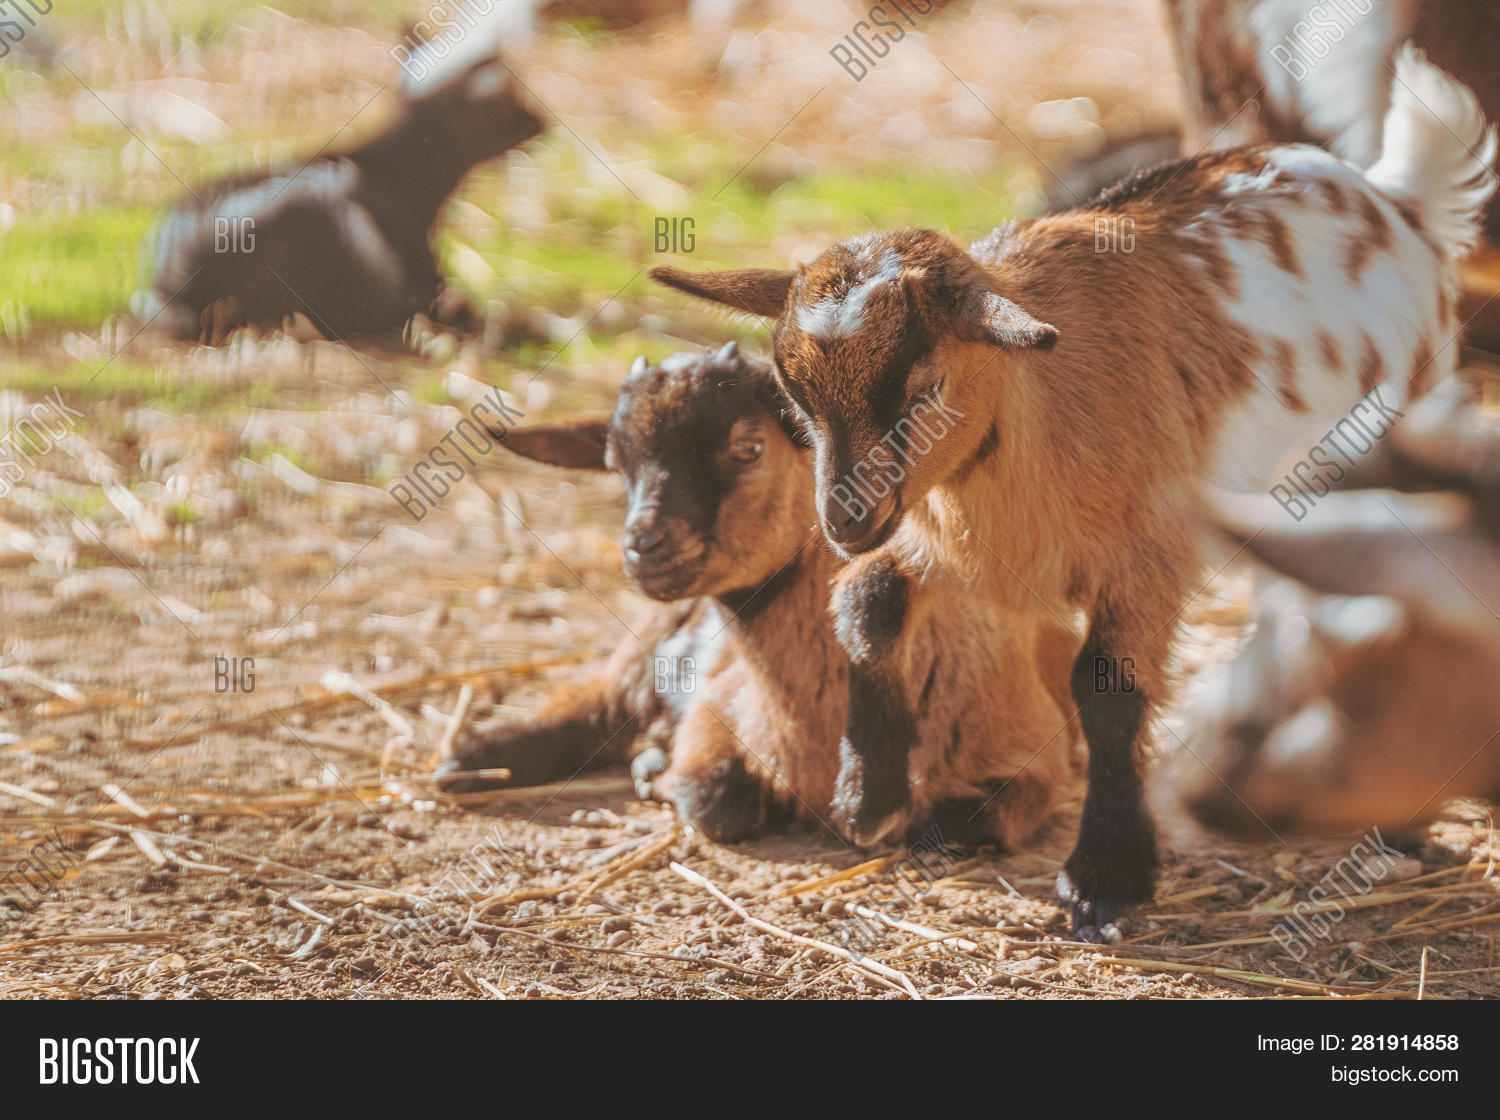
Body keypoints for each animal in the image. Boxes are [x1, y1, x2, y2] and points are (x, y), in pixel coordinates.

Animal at [438, 343, 1080, 848]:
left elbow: (961, 823)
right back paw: (471, 756)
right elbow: (716, 801)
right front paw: (659, 771)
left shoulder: (1033, 763)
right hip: (649, 639)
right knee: (592, 700)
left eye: (749, 447)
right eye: (616, 463)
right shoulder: (715, 714)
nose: (645, 546)